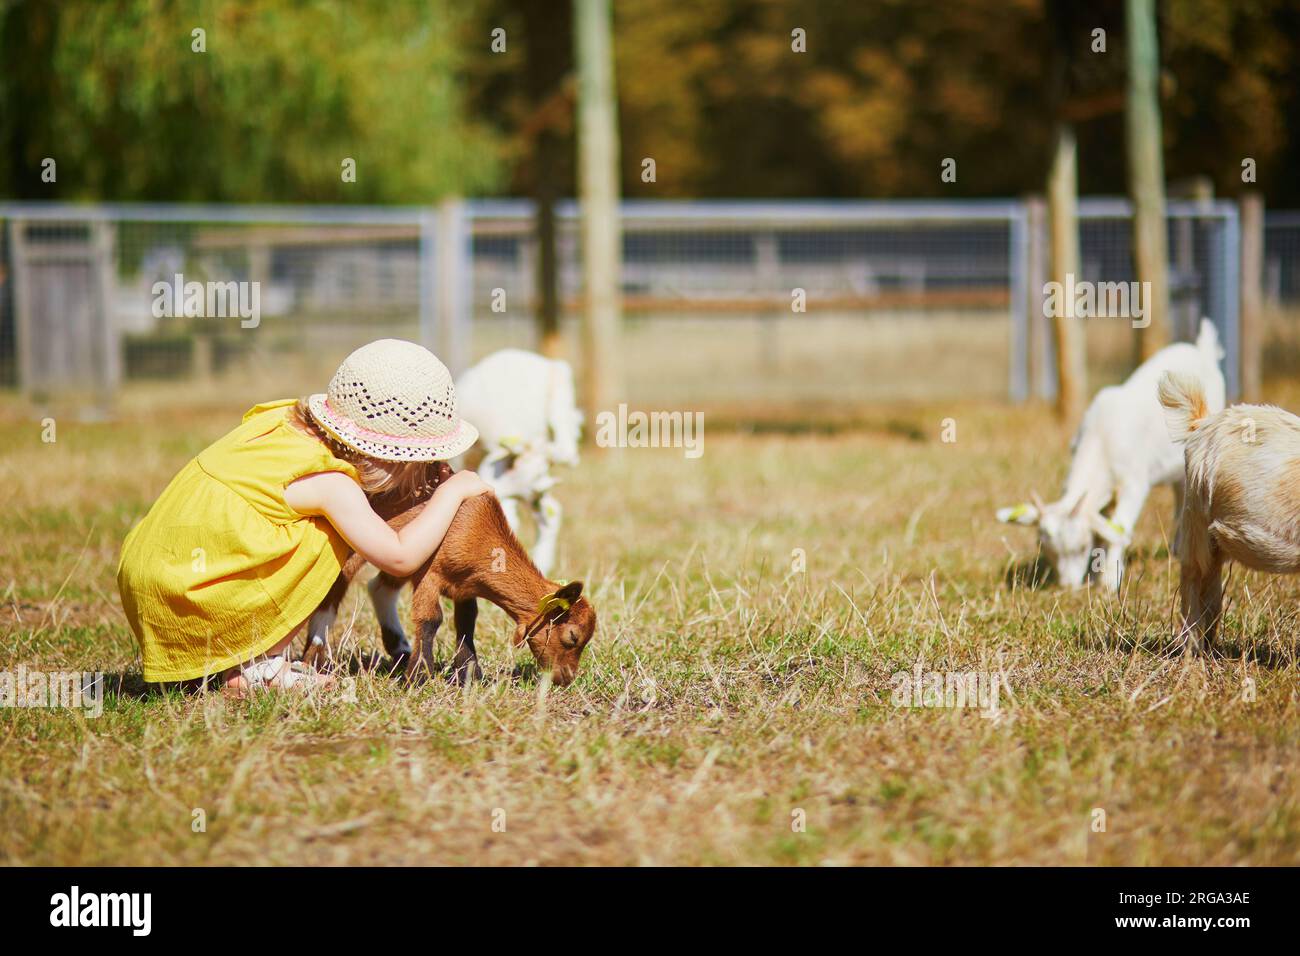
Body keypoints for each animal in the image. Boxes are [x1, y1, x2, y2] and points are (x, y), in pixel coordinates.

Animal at [303, 493, 596, 686]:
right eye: (572, 637)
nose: (565, 678)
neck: (475, 530)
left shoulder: (465, 586)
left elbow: (466, 623)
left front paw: (469, 675)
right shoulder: (429, 574)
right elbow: (431, 618)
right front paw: (418, 678)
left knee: (379, 587)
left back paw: (399, 649)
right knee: (336, 585)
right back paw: (314, 655)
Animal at [997, 319, 1225, 591]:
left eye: (1080, 546)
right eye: (1047, 550)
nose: (1067, 587)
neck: (1100, 439)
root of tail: (1202, 350)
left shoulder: (1134, 483)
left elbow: (1120, 527)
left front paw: (1108, 581)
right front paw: (1097, 573)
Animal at [1159, 371, 1300, 653]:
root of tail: (1202, 422)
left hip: (1215, 537)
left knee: (1210, 587)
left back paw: (1209, 641)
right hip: (1196, 520)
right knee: (1192, 577)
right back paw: (1193, 646)